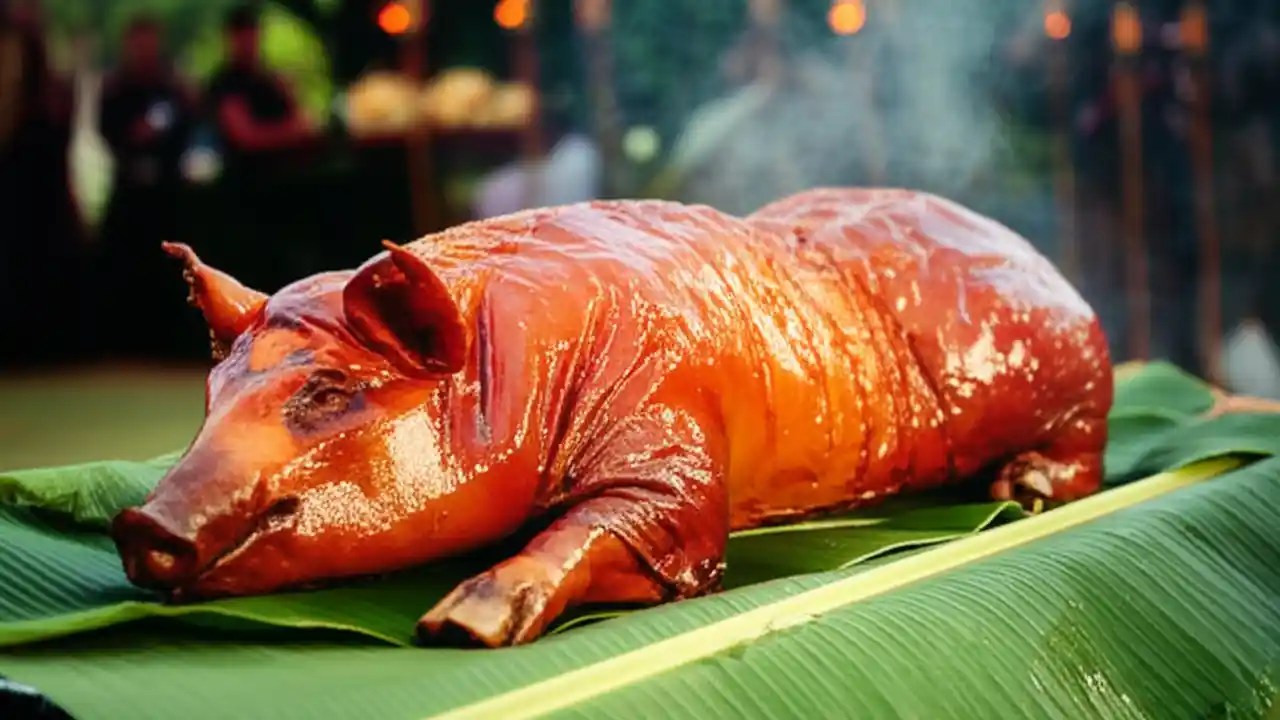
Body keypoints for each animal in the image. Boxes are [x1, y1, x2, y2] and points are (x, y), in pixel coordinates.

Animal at [111, 188, 1113, 648]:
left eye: (325, 391)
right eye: (210, 394)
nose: (140, 522)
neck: (519, 356)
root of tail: (1048, 263)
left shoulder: (674, 430)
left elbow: (654, 531)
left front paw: (457, 625)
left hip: (1068, 381)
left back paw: (1023, 489)